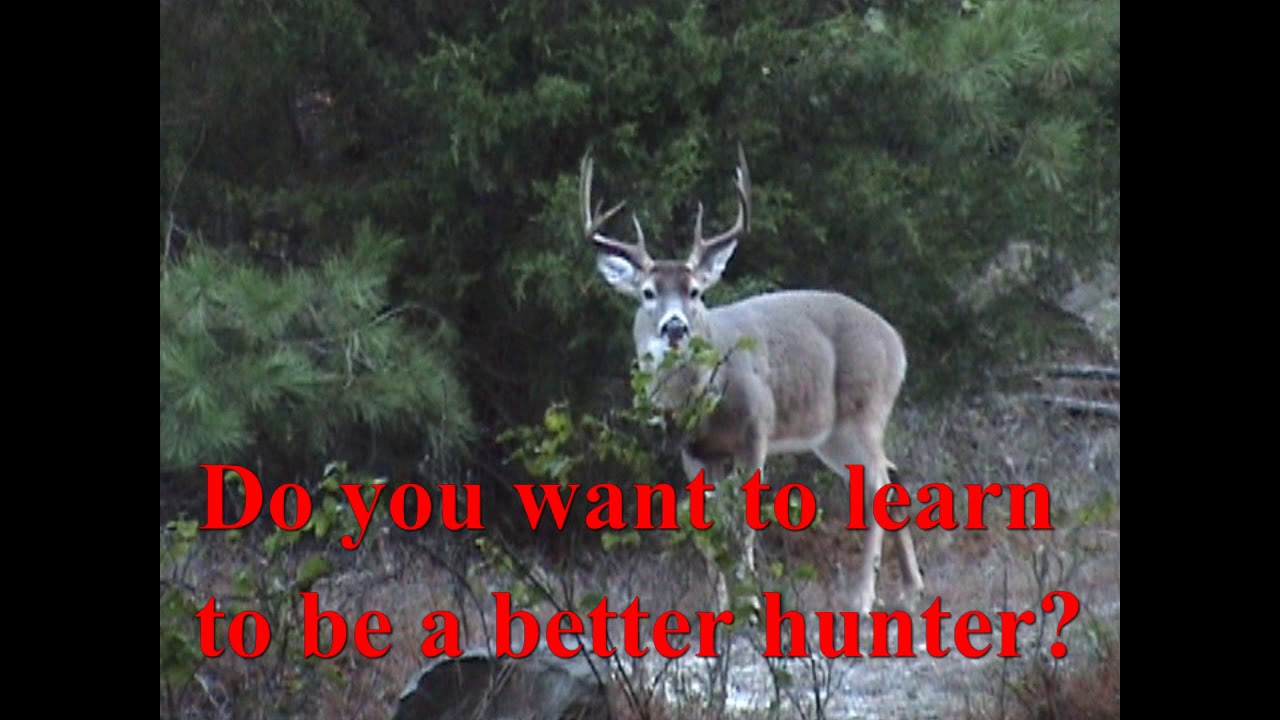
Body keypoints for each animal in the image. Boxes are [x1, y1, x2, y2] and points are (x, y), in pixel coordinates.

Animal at [580, 146, 926, 614]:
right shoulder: (692, 451)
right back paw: (911, 589)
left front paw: (752, 602)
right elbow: (706, 528)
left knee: (876, 484)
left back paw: (862, 598)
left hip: (865, 409)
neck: (701, 400)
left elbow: (744, 522)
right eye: (648, 292)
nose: (675, 328)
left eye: (695, 291)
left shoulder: (755, 431)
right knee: (890, 475)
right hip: (831, 437)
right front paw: (720, 608)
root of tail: (897, 343)